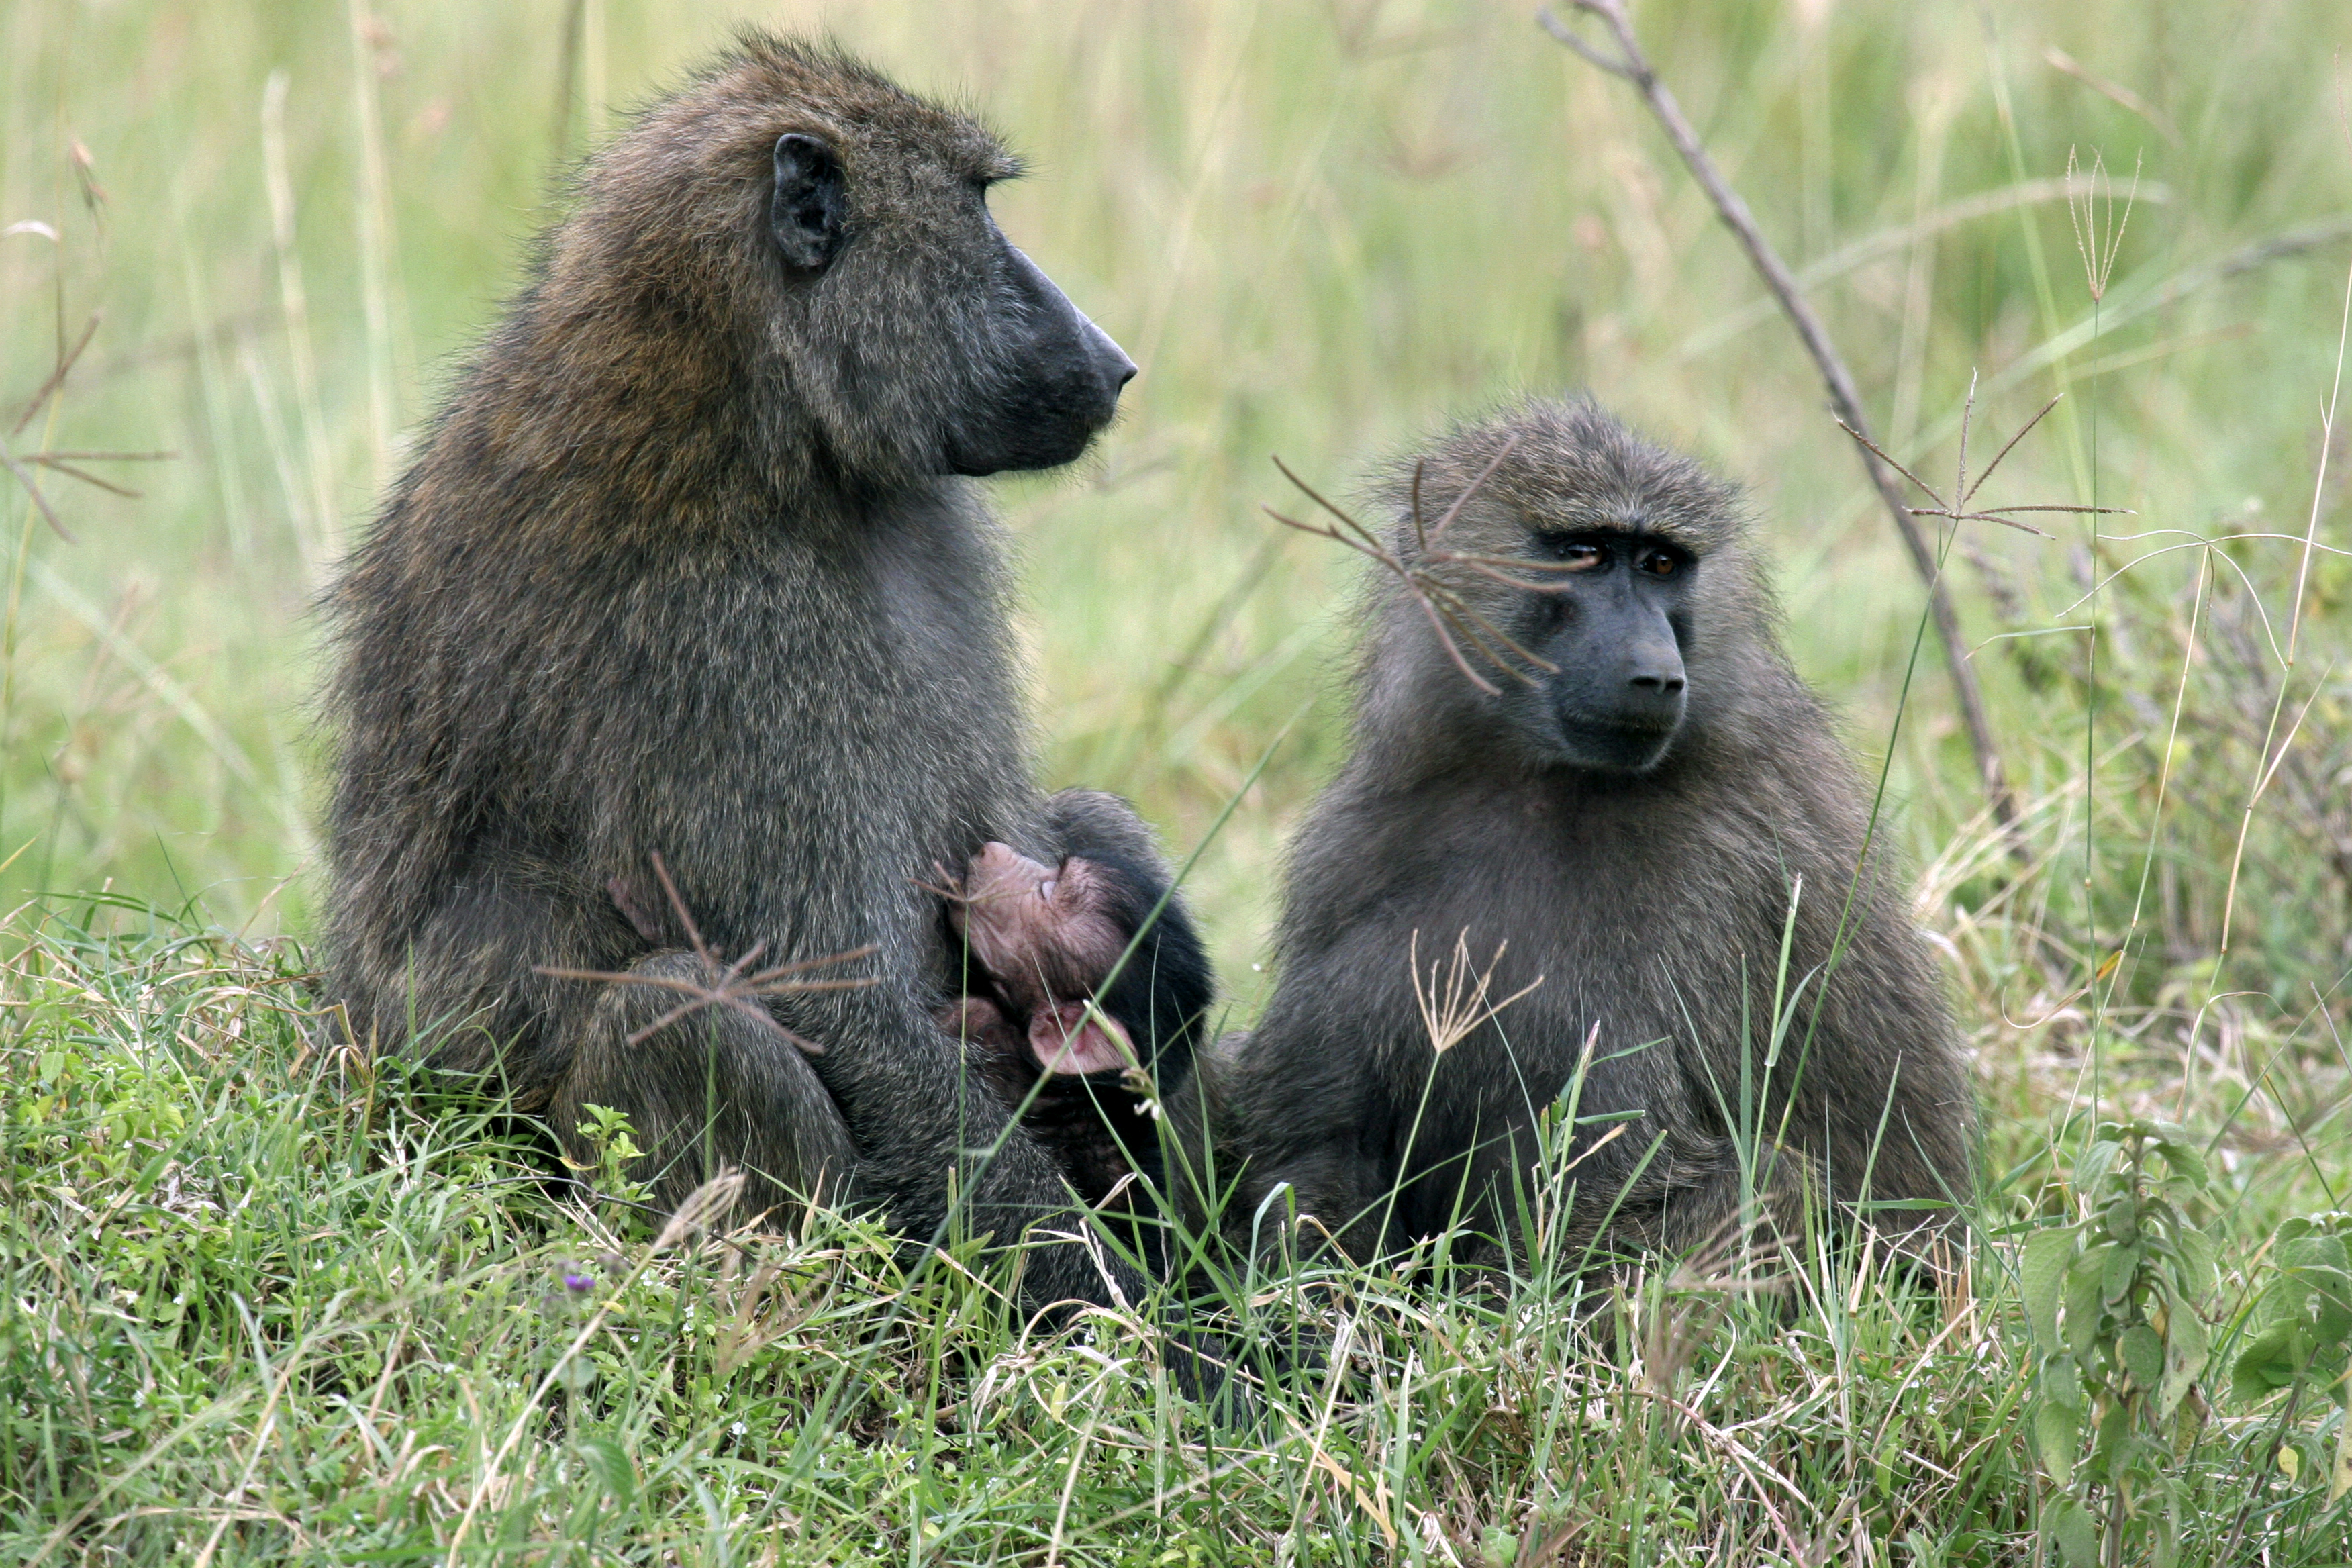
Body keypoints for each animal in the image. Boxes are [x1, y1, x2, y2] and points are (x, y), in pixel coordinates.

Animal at [1180, 397, 1974, 1278]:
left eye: (1661, 563)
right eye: (1584, 553)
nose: (1656, 671)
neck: (1543, 783)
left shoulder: (1725, 864)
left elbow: (1616, 1190)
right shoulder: (1351, 849)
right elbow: (1316, 1147)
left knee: (1769, 1189)